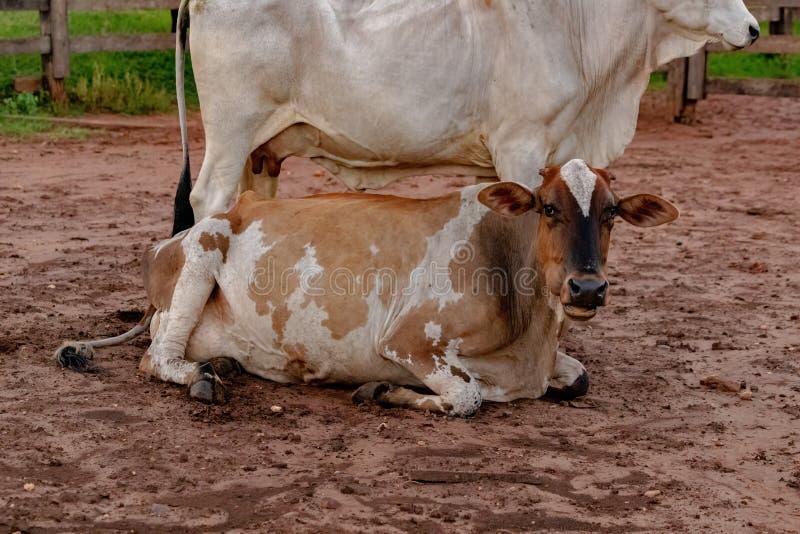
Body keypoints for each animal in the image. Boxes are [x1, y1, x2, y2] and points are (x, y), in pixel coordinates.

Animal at [56, 160, 678, 415]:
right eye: (548, 207)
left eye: (613, 212)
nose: (588, 288)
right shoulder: (406, 340)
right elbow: (469, 398)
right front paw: (385, 392)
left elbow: (579, 380)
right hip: (201, 255)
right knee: (158, 358)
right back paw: (202, 378)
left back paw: (224, 364)